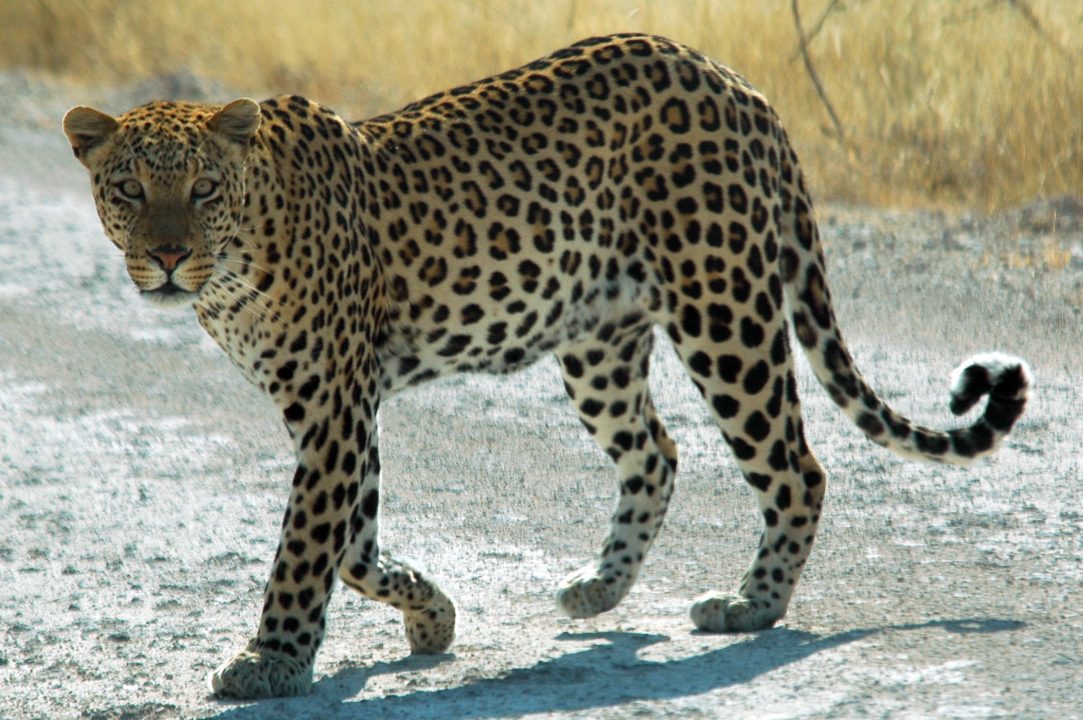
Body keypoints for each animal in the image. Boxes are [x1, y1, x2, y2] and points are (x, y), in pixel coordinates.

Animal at [63, 33, 1030, 699]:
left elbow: (307, 548)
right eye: (128, 191)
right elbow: (354, 544)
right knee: (656, 452)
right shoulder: (339, 407)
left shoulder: (334, 404)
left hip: (724, 310)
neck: (236, 264)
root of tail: (734, 80)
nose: (167, 259)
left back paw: (749, 605)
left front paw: (270, 661)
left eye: (202, 191)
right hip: (596, 341)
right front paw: (431, 614)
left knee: (795, 465)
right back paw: (599, 590)